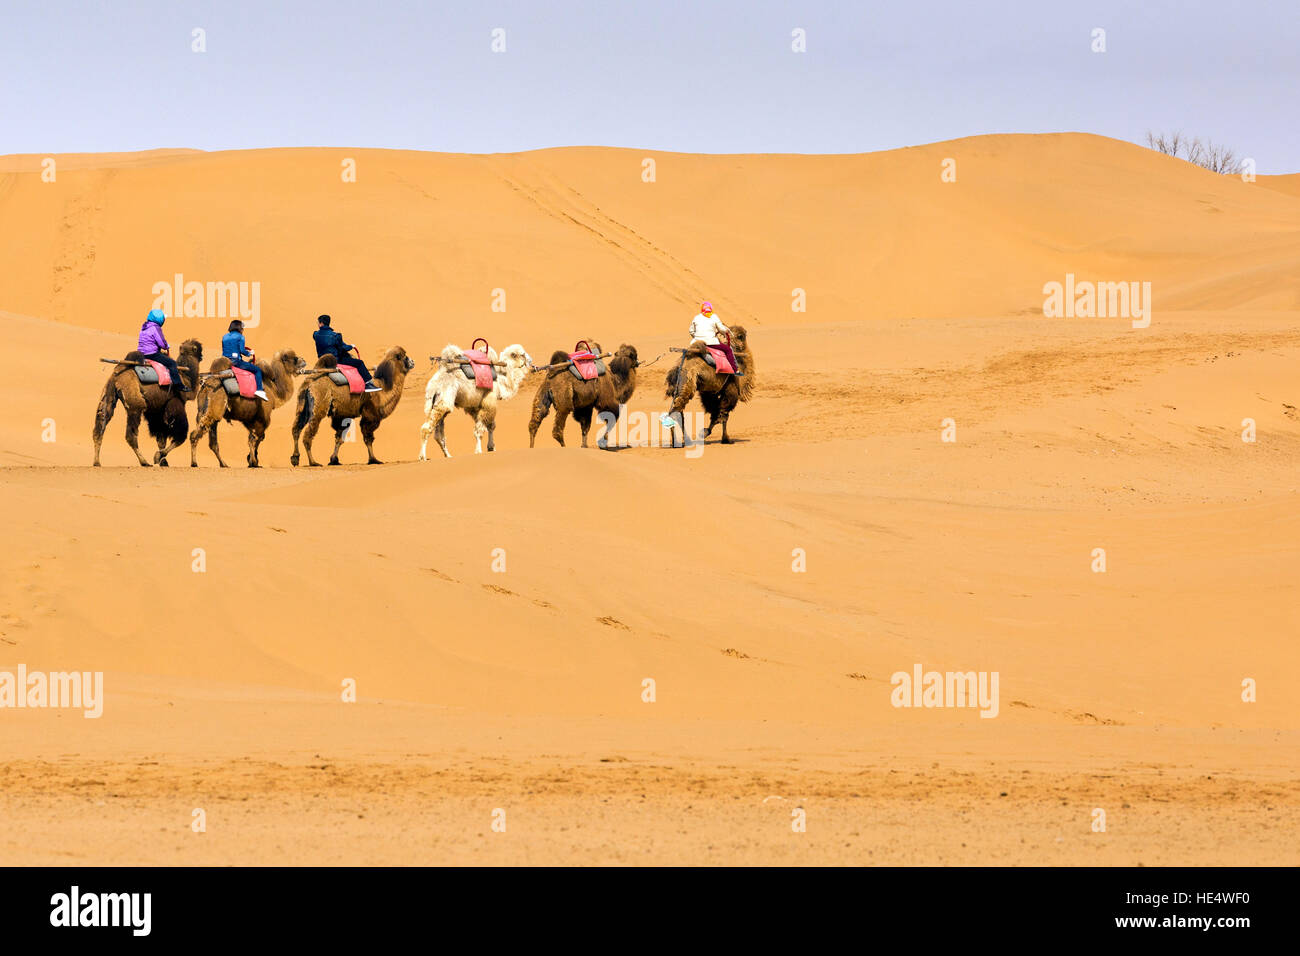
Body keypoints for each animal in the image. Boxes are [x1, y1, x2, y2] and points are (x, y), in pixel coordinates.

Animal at [92, 338, 204, 467]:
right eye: (198, 349)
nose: (202, 356)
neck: (186, 379)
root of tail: (117, 374)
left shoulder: (156, 411)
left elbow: (161, 438)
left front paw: (163, 462)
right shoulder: (175, 402)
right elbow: (181, 435)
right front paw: (159, 456)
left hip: (108, 394)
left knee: (100, 425)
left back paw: (96, 462)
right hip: (135, 402)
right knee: (130, 435)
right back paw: (144, 462)